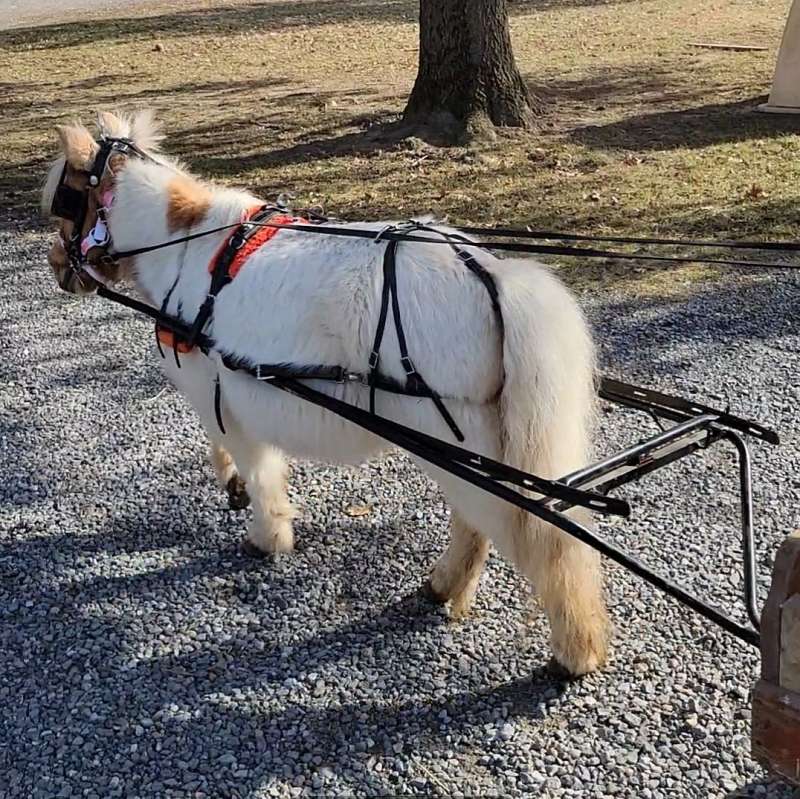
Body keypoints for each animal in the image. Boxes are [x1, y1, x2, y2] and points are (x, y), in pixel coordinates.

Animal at [41, 110, 609, 677]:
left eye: (65, 196)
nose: (57, 266)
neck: (184, 248)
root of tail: (490, 273)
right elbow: (228, 452)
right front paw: (233, 486)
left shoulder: (219, 393)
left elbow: (255, 466)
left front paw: (266, 534)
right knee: (479, 526)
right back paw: (445, 586)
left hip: (462, 442)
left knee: (540, 539)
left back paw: (574, 650)